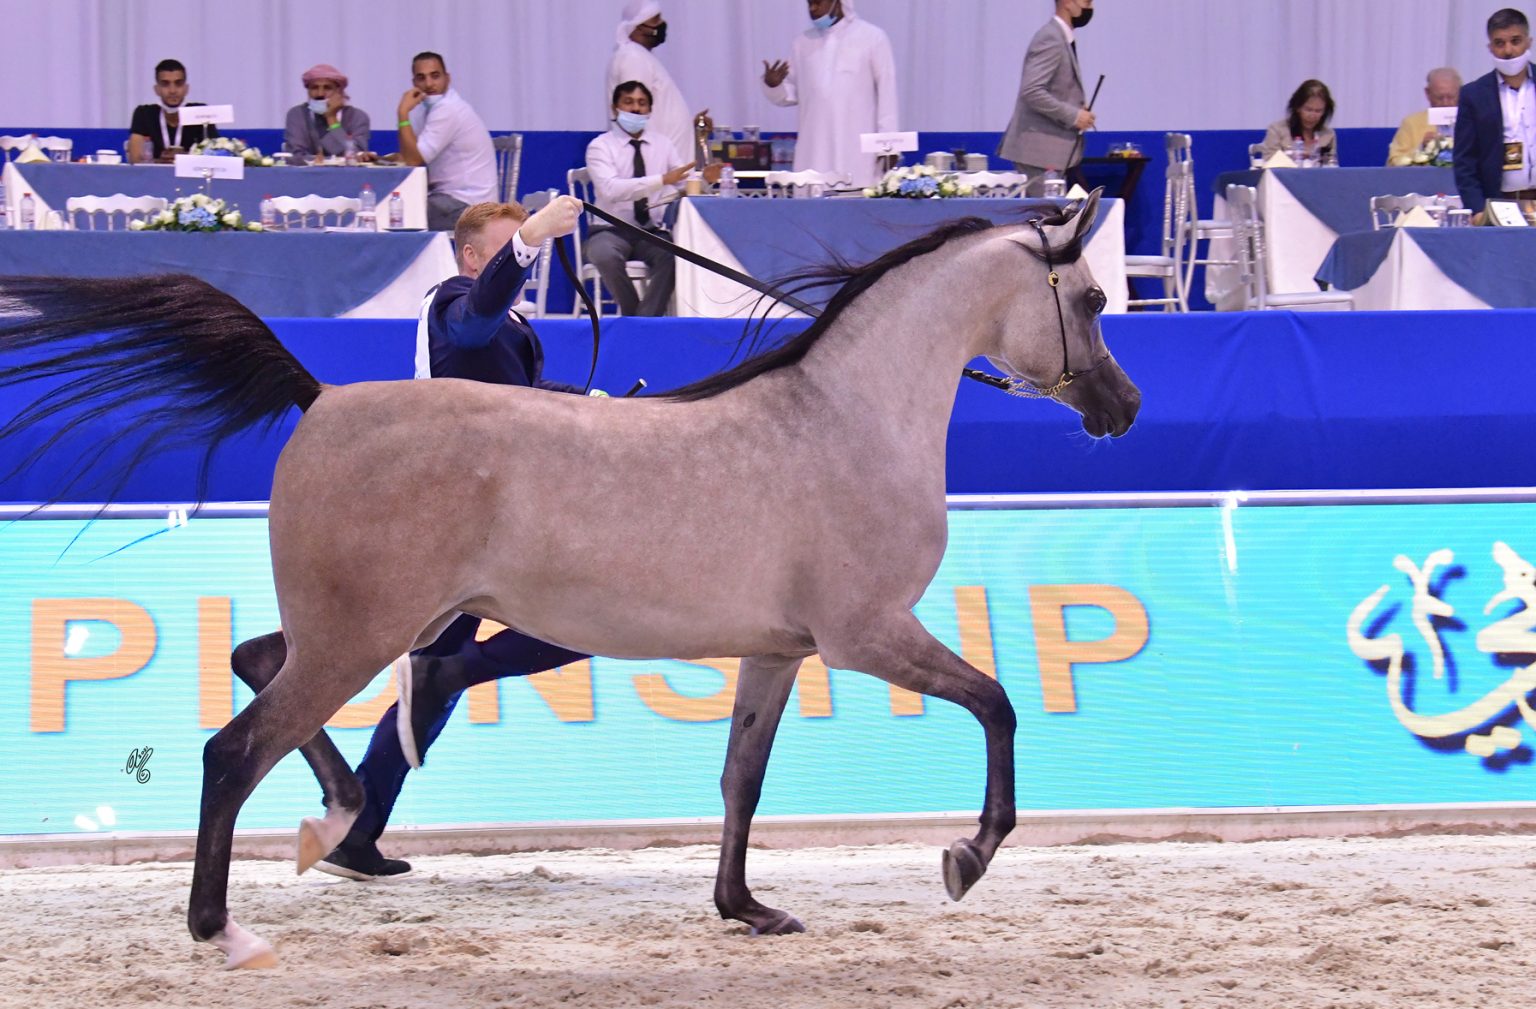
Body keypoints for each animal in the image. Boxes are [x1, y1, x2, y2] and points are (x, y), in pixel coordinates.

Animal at [0, 190, 1138, 969]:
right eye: (1091, 297)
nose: (1122, 408)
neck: (841, 419)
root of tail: (321, 396)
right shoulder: (869, 634)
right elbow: (997, 704)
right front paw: (968, 856)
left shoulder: (779, 651)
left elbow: (742, 776)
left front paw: (745, 907)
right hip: (362, 634)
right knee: (235, 749)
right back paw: (226, 922)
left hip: (366, 627)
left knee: (264, 662)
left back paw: (338, 819)